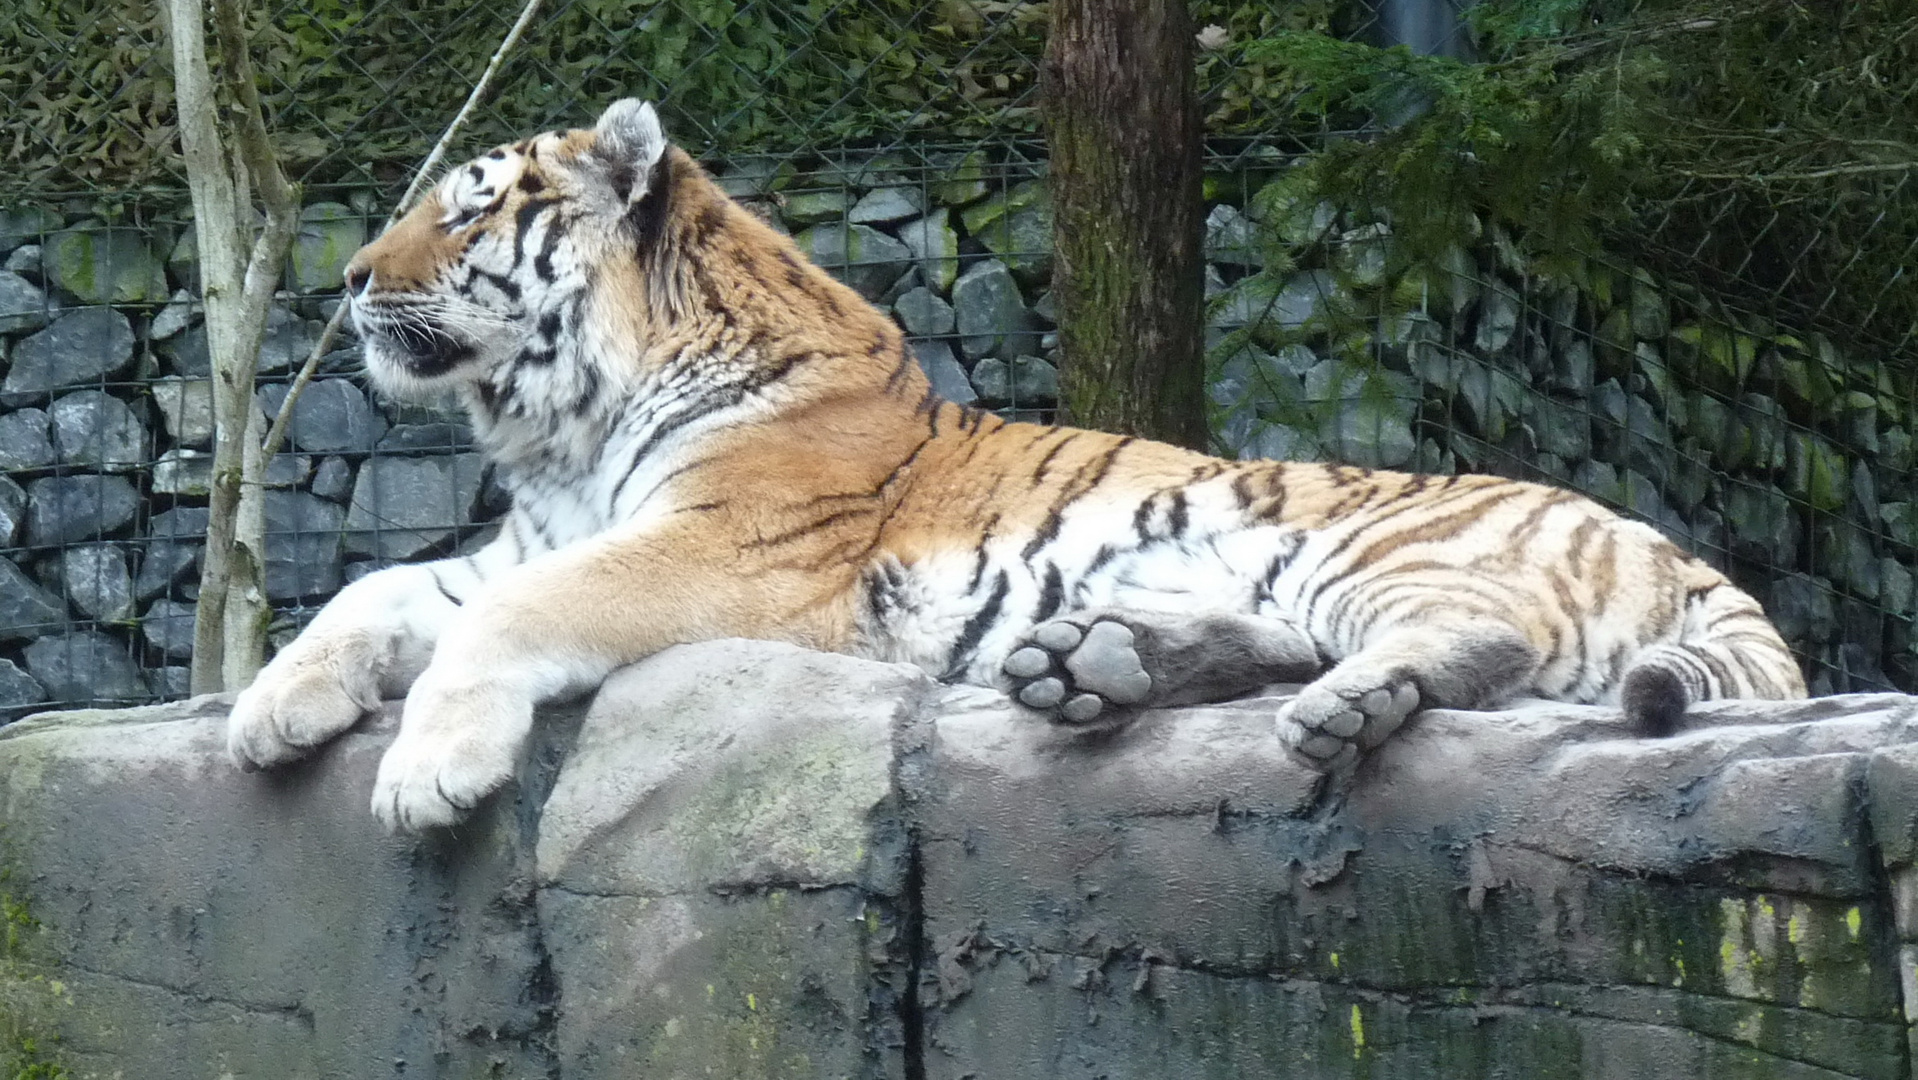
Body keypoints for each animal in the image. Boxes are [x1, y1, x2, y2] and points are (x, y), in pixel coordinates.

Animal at [227, 99, 1807, 831]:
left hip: (1388, 548)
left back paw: (1334, 709)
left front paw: (425, 774)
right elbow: (371, 595)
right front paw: (267, 714)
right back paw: (1088, 665)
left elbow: (494, 621)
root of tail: (1672, 542)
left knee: (1464, 644)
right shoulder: (532, 536)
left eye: (466, 210)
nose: (348, 282)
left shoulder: (719, 552)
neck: (566, 420)